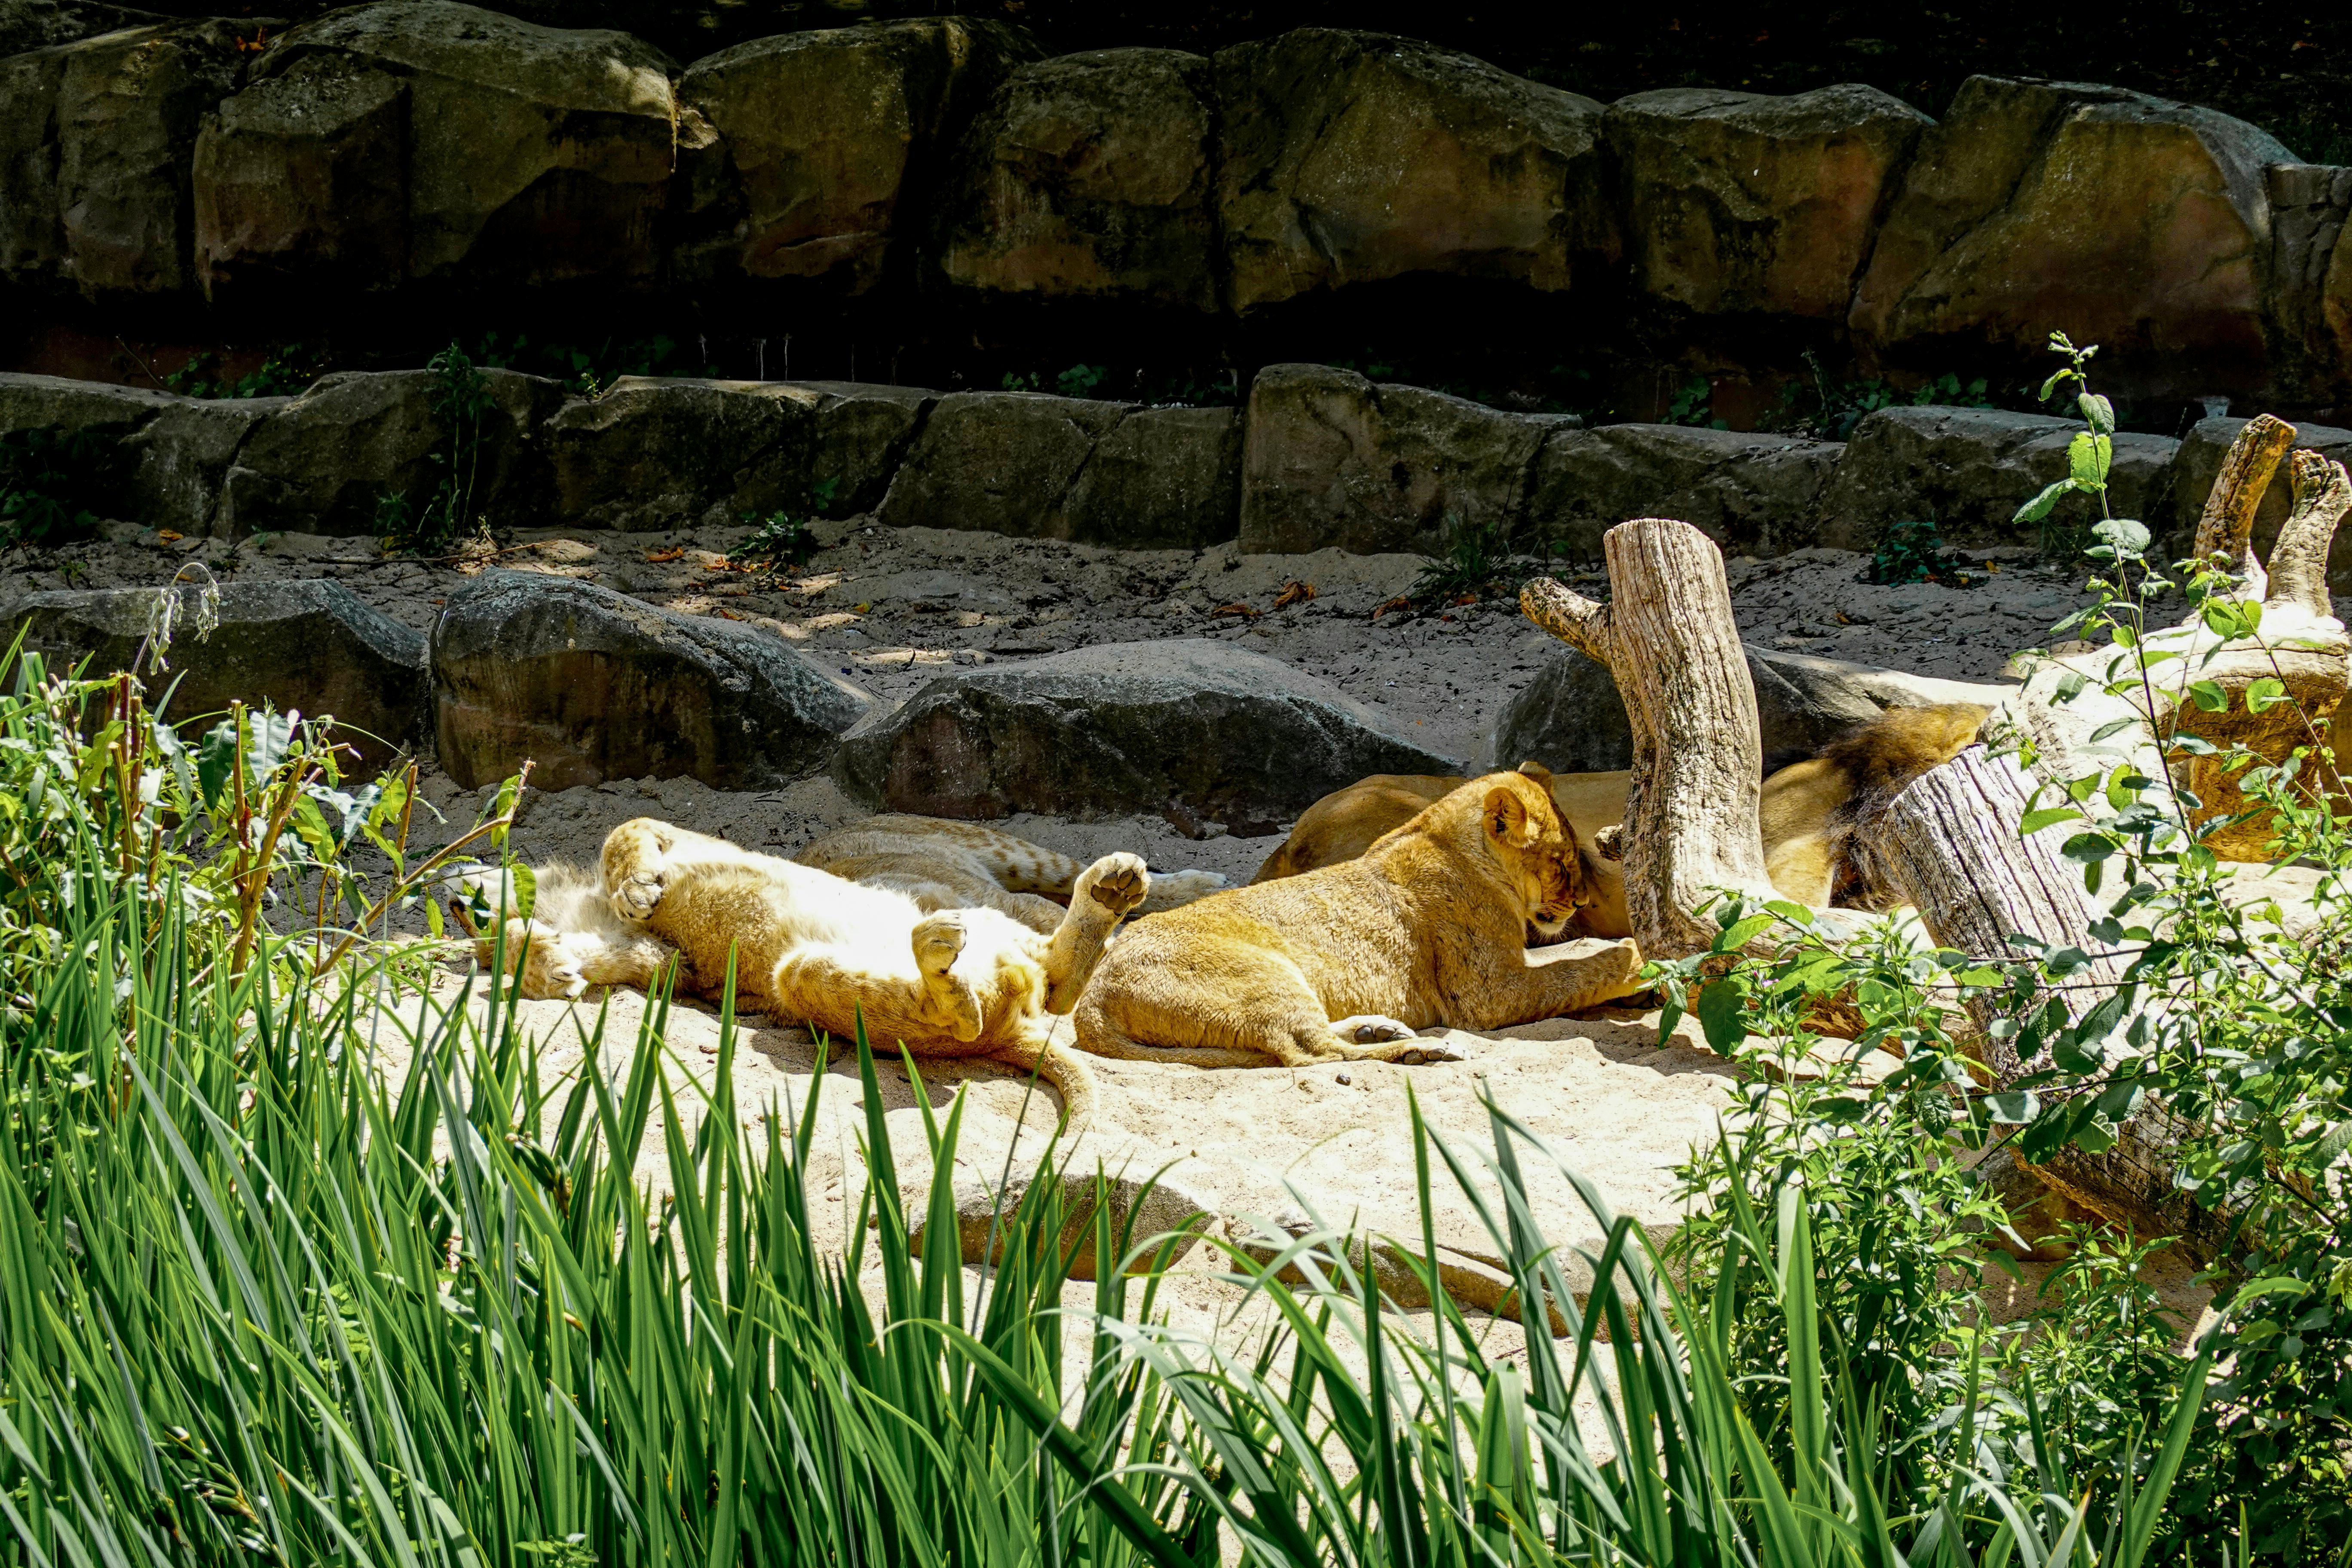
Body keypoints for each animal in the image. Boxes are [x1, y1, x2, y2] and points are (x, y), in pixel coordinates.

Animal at [453, 818, 1156, 1128]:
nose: (455, 904)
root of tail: (1015, 1033)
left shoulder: (673, 855)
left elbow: (622, 834)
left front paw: (636, 886)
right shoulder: (663, 960)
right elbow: (575, 950)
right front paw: (547, 965)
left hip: (983, 916)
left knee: (1051, 973)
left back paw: (1110, 889)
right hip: (807, 971)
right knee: (1009, 998)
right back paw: (946, 962)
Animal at [1072, 768, 1648, 1070]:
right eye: (1561, 862)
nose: (1581, 903)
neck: (1446, 838)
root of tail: (1093, 997)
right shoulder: (1487, 995)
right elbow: (1574, 971)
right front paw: (1637, 959)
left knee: (1313, 1040)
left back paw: (1377, 1028)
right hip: (1267, 975)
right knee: (1310, 1053)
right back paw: (1420, 1049)